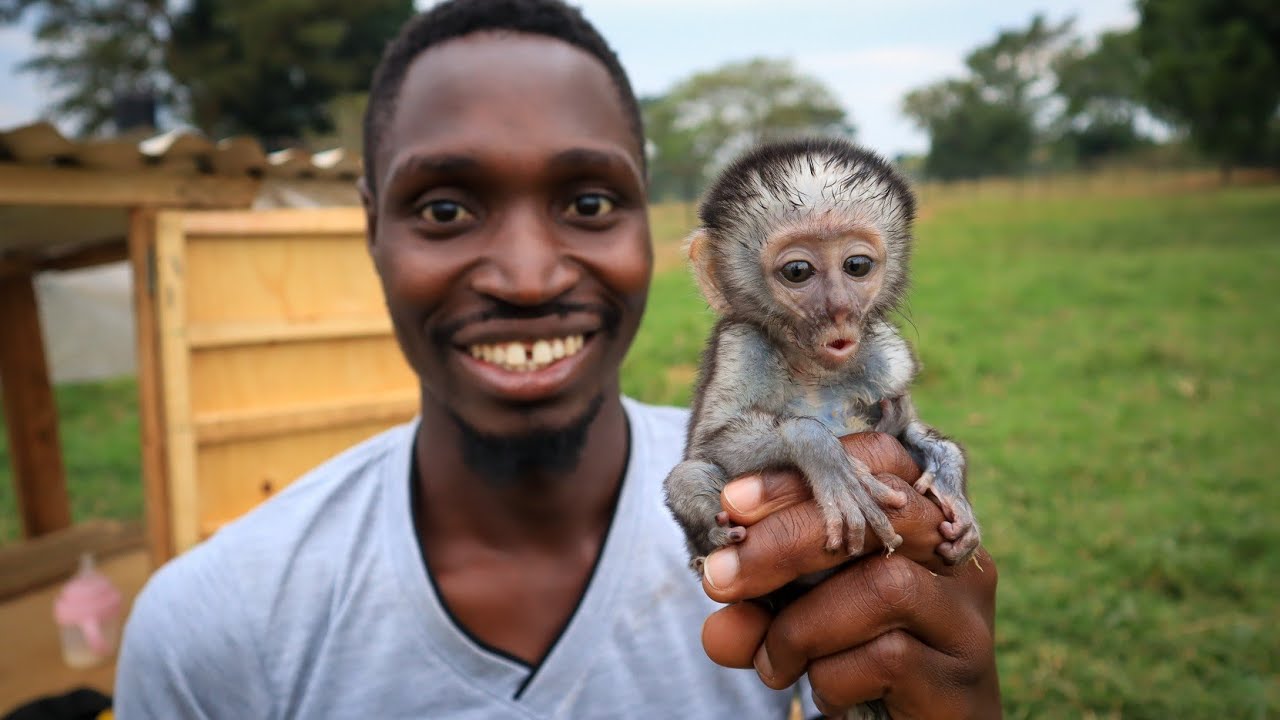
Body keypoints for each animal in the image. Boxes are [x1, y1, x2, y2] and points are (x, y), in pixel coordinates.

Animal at [663, 137, 980, 581]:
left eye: (857, 266)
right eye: (798, 271)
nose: (840, 308)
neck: (813, 372)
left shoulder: (887, 359)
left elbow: (909, 424)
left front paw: (947, 470)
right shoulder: (741, 344)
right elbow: (713, 442)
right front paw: (825, 456)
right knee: (687, 476)